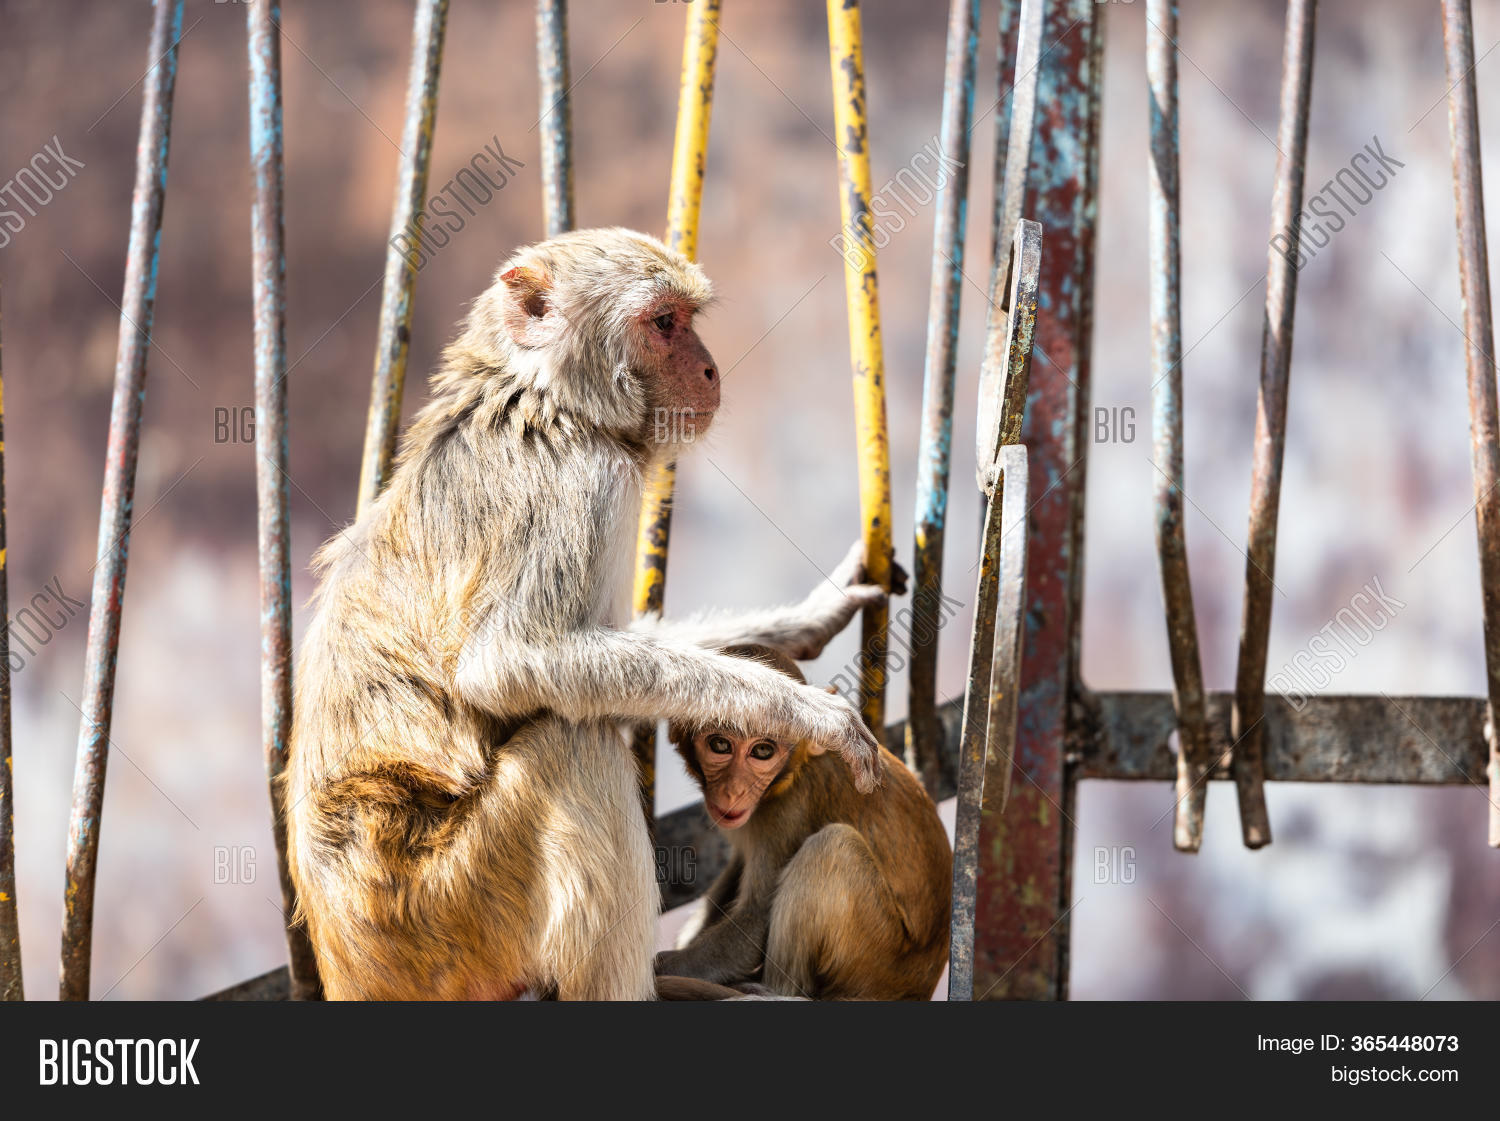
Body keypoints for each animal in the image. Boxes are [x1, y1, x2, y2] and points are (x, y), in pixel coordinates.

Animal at [285, 228, 887, 1000]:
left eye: (688, 318)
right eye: (665, 323)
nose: (711, 369)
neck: (545, 398)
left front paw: (804, 622)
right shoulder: (585, 482)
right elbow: (511, 663)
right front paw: (802, 711)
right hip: (446, 915)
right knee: (575, 747)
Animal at [656, 644, 953, 1001]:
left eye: (763, 751)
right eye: (720, 745)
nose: (734, 789)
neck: (790, 776)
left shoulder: (788, 812)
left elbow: (753, 924)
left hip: (880, 963)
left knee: (831, 848)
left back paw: (773, 991)